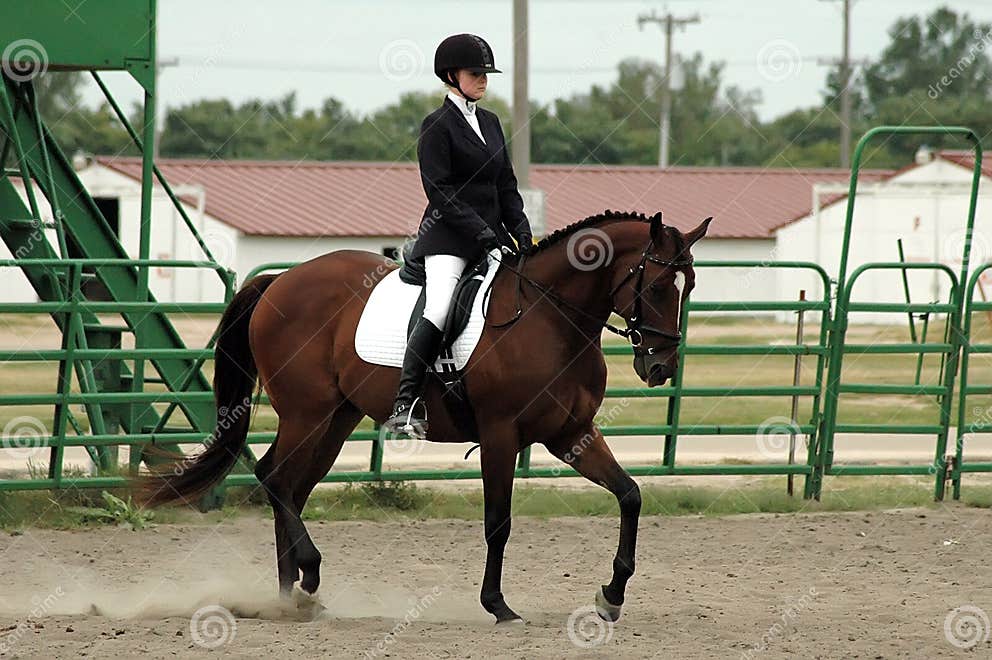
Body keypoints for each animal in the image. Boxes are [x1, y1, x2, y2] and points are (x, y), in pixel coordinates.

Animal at [138, 209, 710, 624]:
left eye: (691, 285)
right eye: (657, 286)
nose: (660, 366)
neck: (550, 317)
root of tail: (280, 280)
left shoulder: (572, 434)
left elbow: (630, 494)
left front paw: (611, 596)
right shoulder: (501, 435)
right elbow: (498, 522)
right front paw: (497, 605)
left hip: (335, 420)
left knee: (286, 485)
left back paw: (291, 596)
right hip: (307, 413)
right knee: (276, 479)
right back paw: (308, 576)